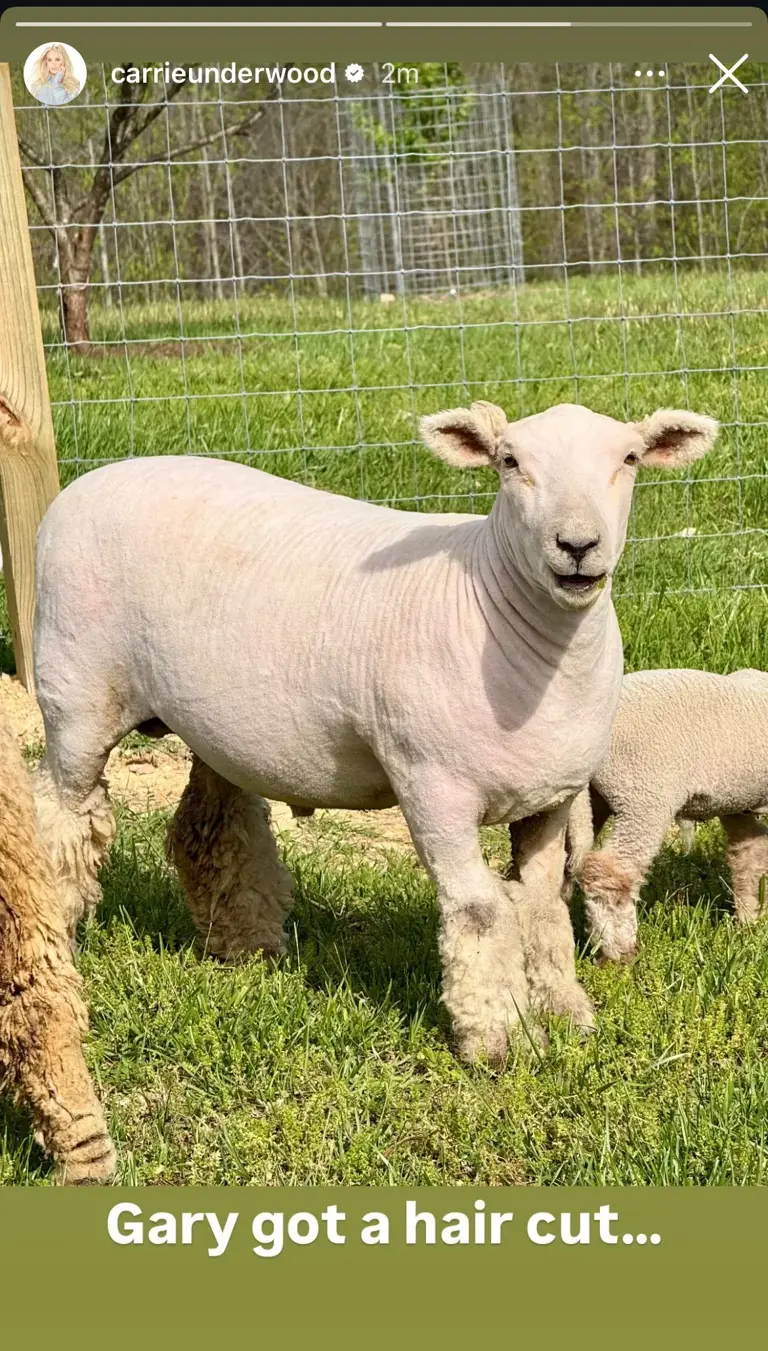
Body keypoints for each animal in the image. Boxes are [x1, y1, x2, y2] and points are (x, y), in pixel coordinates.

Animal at [31, 402, 716, 1065]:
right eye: (510, 462)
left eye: (629, 459)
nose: (577, 545)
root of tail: (88, 482)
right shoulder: (433, 786)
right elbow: (479, 911)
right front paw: (498, 1040)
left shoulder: (550, 798)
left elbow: (542, 904)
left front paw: (566, 1014)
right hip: (76, 699)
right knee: (61, 823)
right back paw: (55, 942)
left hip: (214, 729)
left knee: (211, 830)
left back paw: (247, 946)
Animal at [544, 669, 768, 962]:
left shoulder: (737, 803)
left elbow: (749, 855)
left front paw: (748, 922)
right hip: (644, 796)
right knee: (612, 871)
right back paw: (618, 952)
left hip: (589, 800)